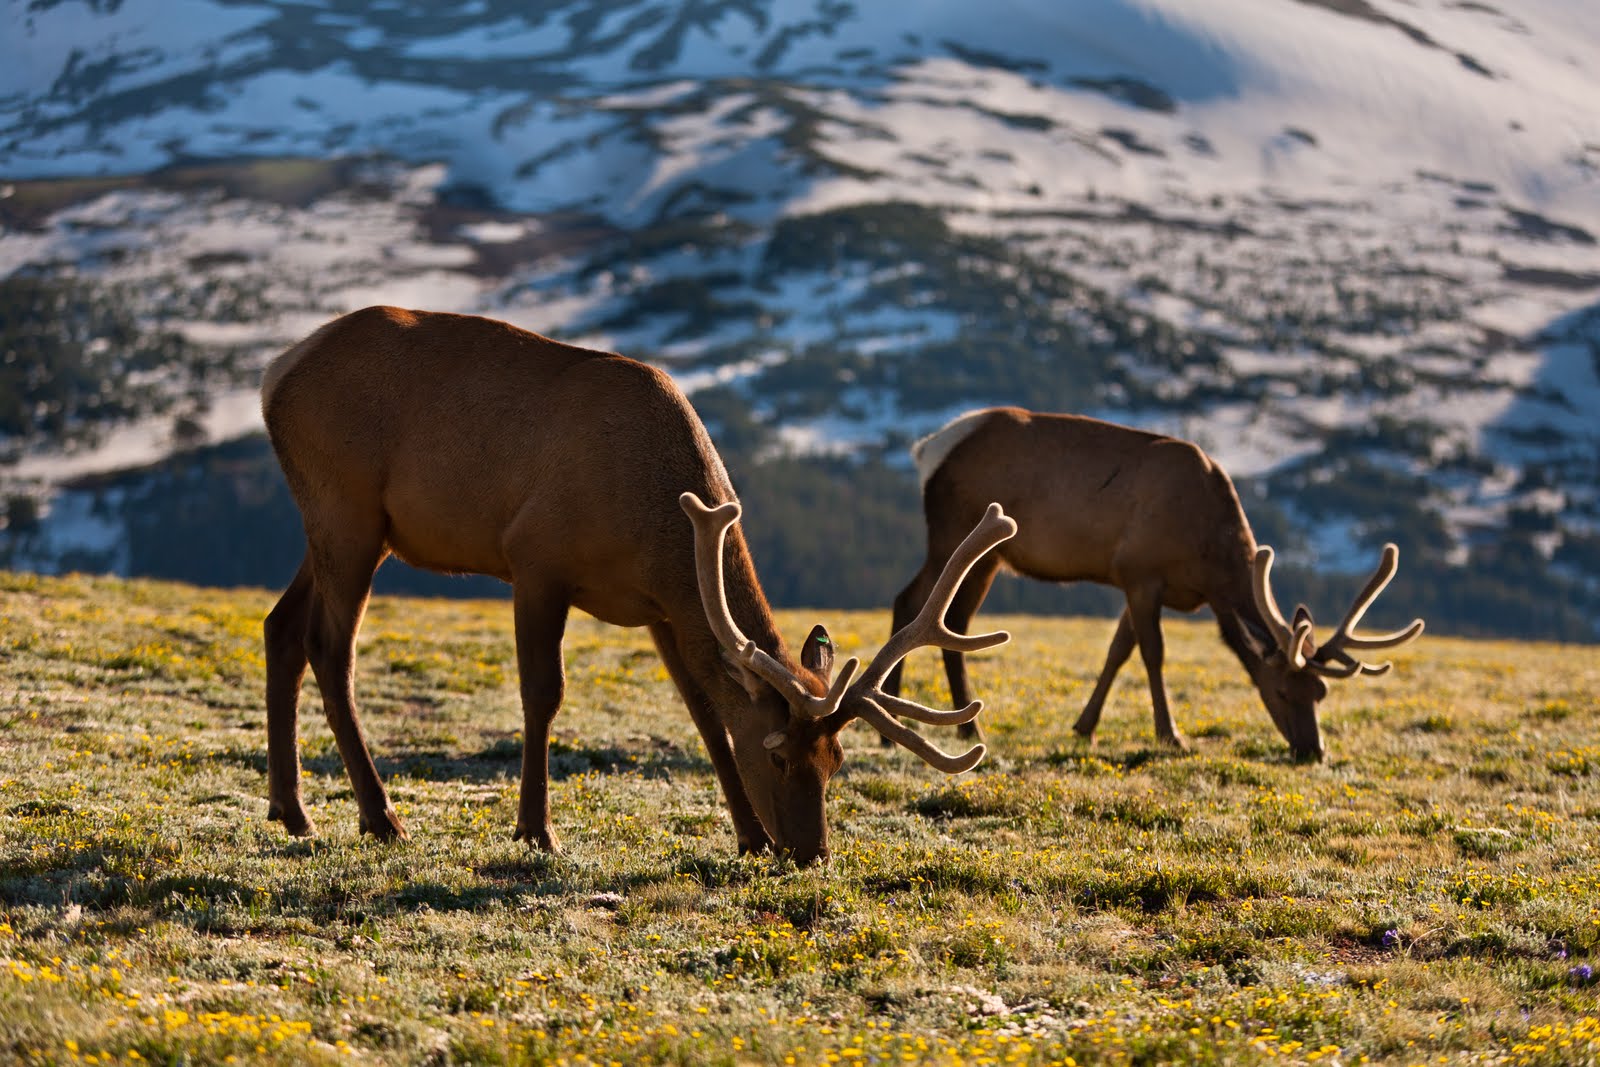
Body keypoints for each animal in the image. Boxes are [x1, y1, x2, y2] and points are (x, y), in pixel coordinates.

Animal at [259, 306, 1018, 864]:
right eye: (777, 755)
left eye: (835, 760)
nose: (811, 853)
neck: (657, 528)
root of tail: (274, 374)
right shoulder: (535, 559)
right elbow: (543, 695)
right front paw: (535, 829)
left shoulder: (661, 609)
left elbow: (704, 713)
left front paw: (747, 836)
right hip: (348, 509)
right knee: (330, 646)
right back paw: (380, 816)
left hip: (343, 525)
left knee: (281, 625)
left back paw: (292, 810)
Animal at [883, 407, 1424, 762]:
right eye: (1283, 691)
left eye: (1321, 693)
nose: (1314, 751)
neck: (1209, 560)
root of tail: (926, 448)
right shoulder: (1141, 572)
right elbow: (1151, 654)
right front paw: (1171, 735)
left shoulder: (1137, 582)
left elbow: (1117, 650)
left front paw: (1084, 727)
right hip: (954, 532)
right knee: (912, 602)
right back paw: (916, 729)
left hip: (990, 553)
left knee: (950, 618)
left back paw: (948, 725)